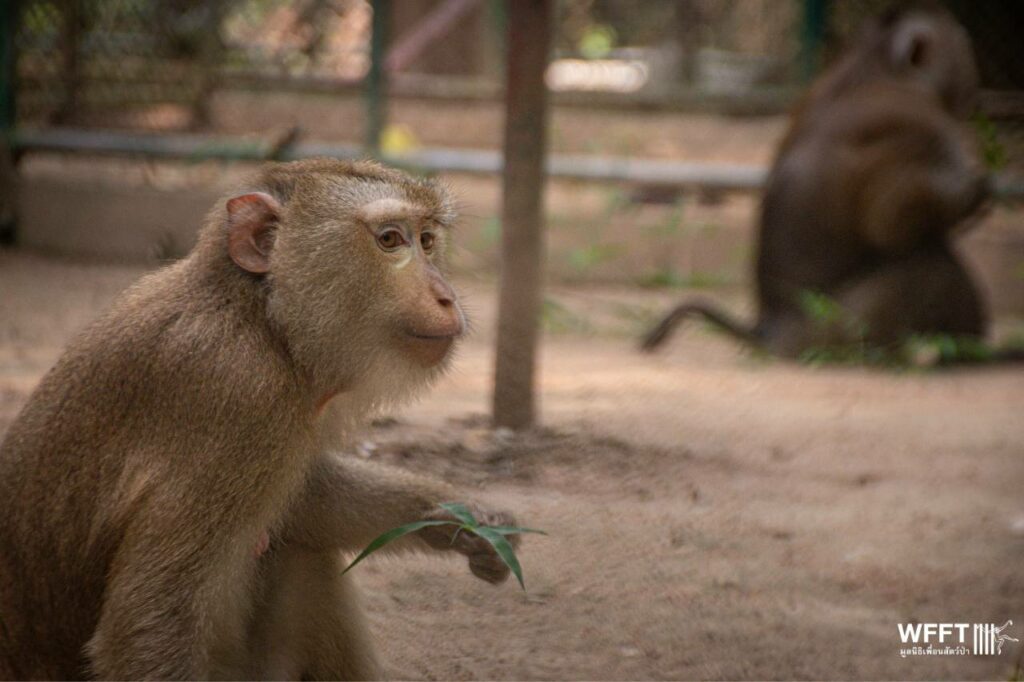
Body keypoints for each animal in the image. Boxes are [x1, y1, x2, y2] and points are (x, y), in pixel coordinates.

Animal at [0, 158, 520, 680]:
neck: (261, 318)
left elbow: (302, 497)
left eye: (428, 240)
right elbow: (147, 625)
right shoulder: (239, 397)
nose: (446, 296)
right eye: (390, 239)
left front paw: (460, 519)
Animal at [642, 6, 993, 361]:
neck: (876, 67)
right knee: (931, 269)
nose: (974, 81)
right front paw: (970, 191)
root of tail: (771, 327)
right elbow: (889, 223)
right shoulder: (924, 123)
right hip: (835, 328)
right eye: (963, 44)